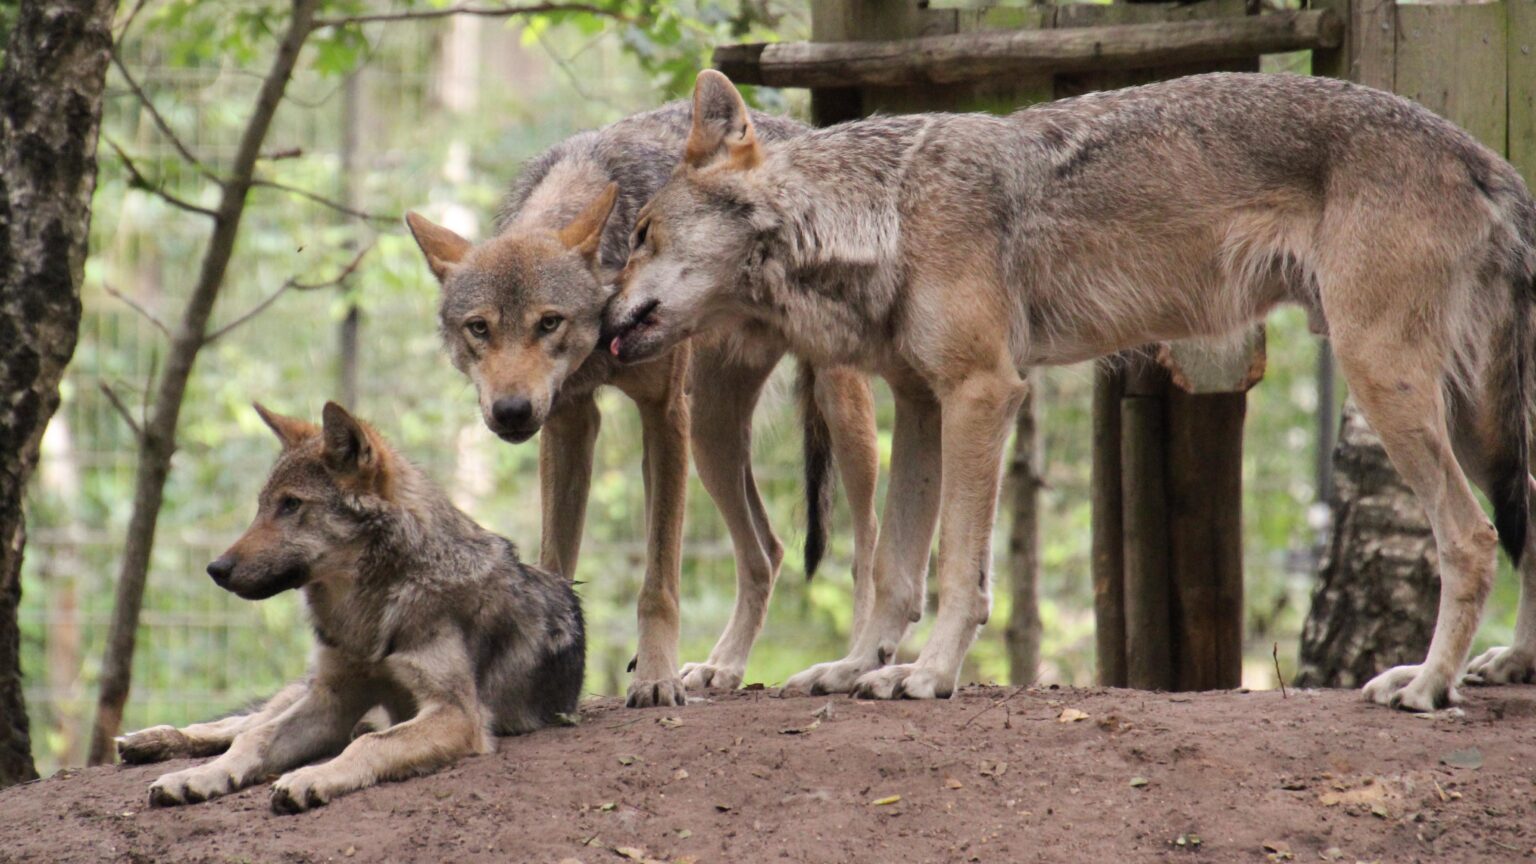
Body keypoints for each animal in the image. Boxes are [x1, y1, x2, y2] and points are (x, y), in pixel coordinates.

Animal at [116, 402, 584, 813]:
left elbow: (368, 743)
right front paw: (198, 777)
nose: (216, 568)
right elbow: (255, 740)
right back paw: (151, 742)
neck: (367, 612)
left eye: (291, 504)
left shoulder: (456, 713)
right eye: (262, 506)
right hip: (306, 690)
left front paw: (310, 778)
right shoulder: (333, 698)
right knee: (240, 726)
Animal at [404, 102, 880, 708]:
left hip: (834, 415)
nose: (511, 411)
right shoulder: (570, 421)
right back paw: (723, 667)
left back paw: (856, 661)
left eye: (549, 322)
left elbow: (659, 579)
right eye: (479, 328)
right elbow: (556, 561)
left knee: (868, 546)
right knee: (767, 551)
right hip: (712, 437)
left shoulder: (662, 413)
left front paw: (654, 678)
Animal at [604, 70, 1536, 712]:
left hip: (1389, 387)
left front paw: (929, 675)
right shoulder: (921, 404)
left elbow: (957, 573)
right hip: (1466, 413)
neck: (883, 213)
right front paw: (854, 668)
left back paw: (1428, 685)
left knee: (1475, 538)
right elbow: (896, 571)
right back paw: (1512, 665)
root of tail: (1483, 155)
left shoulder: (983, 393)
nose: (602, 318)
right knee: (1523, 515)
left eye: (642, 235)